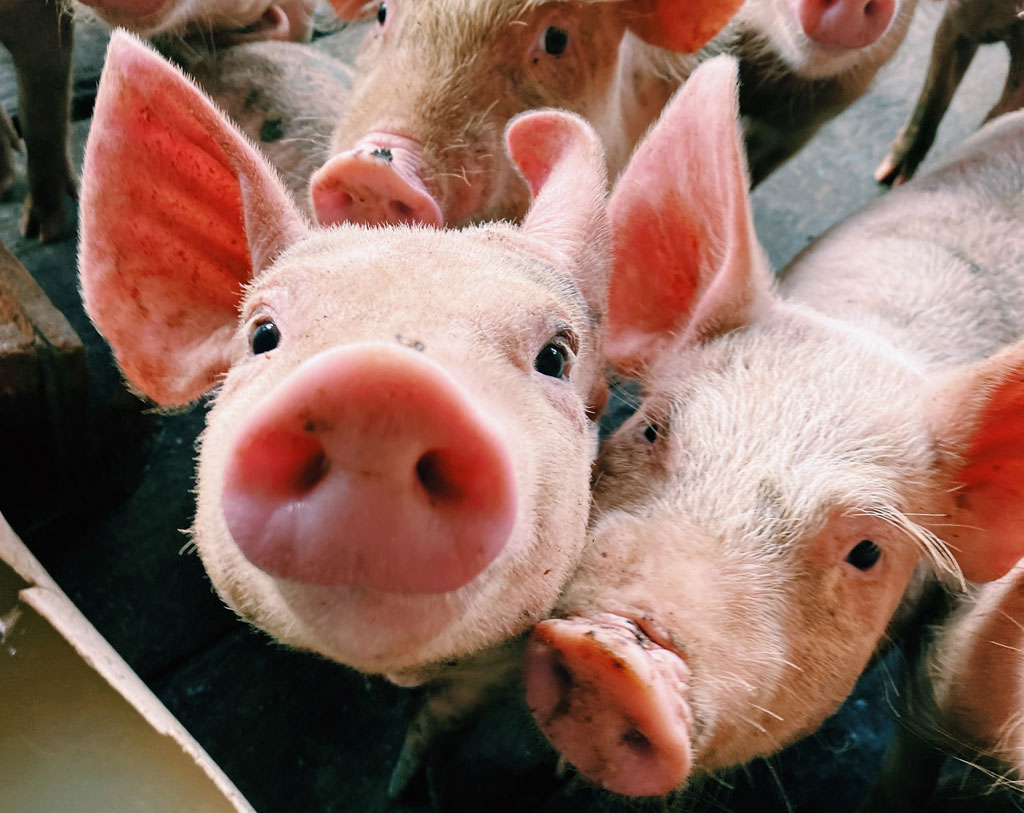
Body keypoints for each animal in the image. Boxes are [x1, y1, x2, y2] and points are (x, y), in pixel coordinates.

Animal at [78, 31, 612, 797]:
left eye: (555, 357)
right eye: (262, 334)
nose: (382, 390)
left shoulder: (509, 650)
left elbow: (443, 719)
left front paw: (407, 785)